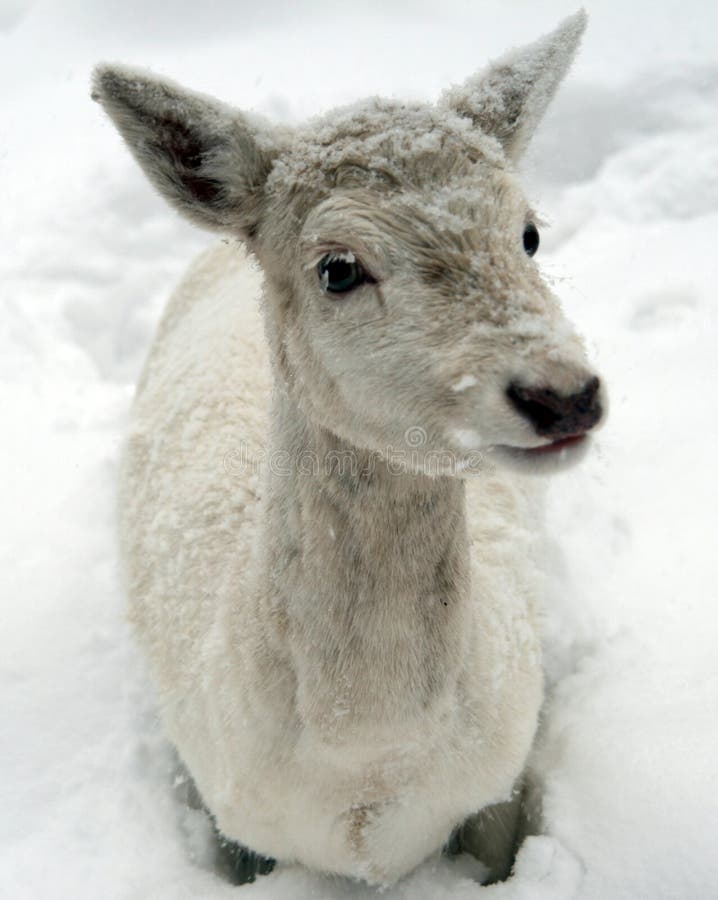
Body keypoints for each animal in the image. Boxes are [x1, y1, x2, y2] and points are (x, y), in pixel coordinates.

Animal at [92, 10, 604, 887]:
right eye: (338, 269)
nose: (564, 393)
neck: (369, 763)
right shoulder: (243, 821)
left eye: (529, 234)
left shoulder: (497, 787)